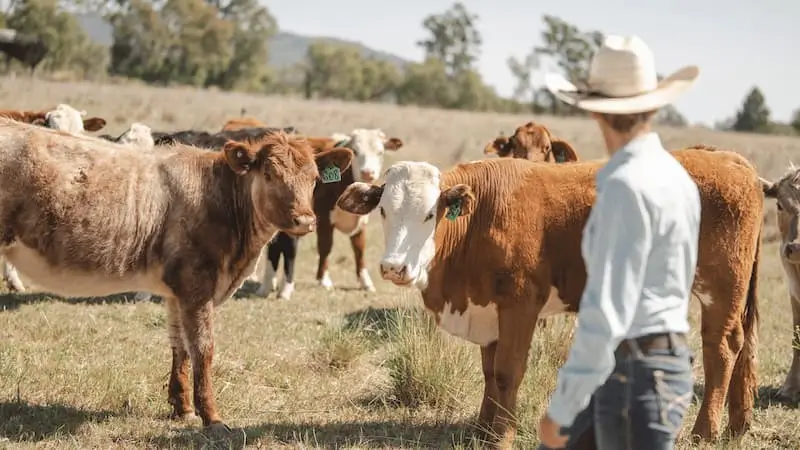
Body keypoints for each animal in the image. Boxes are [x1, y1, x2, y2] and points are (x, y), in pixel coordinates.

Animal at [0, 118, 353, 433]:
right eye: (269, 173)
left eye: (314, 178)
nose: (305, 220)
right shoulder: (197, 284)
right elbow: (203, 348)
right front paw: (213, 417)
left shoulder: (176, 289)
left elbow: (179, 344)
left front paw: (182, 407)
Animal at [336, 149, 762, 448]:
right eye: (383, 211)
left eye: (429, 214)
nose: (394, 267)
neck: (480, 218)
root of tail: (731, 159)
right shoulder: (489, 306)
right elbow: (489, 372)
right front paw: (482, 430)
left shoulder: (521, 303)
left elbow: (507, 372)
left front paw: (501, 437)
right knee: (742, 343)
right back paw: (738, 424)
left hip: (720, 286)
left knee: (721, 349)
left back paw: (705, 431)